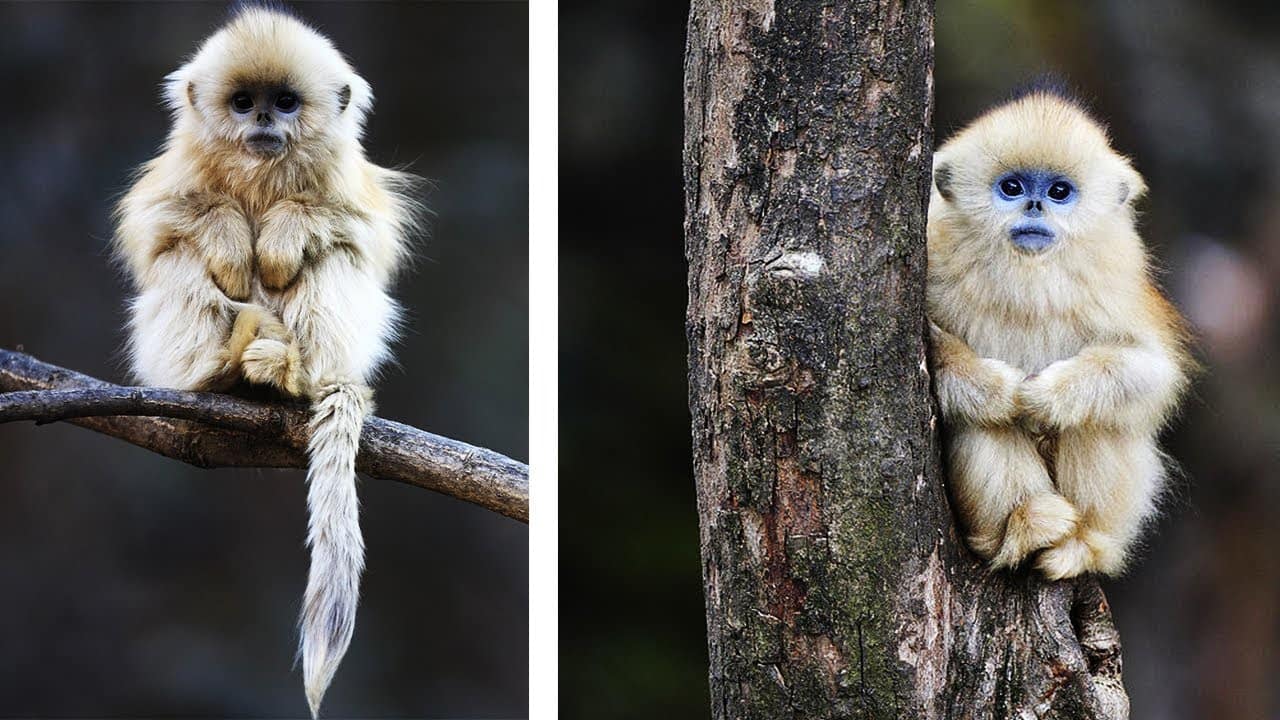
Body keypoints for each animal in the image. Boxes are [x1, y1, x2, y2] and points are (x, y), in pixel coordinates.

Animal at [113, 7, 420, 715]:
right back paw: (220, 370)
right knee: (180, 258)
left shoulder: (349, 185)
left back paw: (290, 373)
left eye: (285, 102)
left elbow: (358, 231)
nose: (262, 122)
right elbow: (157, 226)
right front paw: (230, 237)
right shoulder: (174, 177)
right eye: (242, 102)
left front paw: (281, 234)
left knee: (335, 257)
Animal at [926, 81, 1191, 581]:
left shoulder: (1118, 280)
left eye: (1059, 191)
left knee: (1099, 420)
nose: (1035, 205)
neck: (1029, 274)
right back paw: (1027, 527)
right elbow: (938, 355)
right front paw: (1005, 392)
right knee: (981, 423)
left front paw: (1044, 396)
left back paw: (1079, 546)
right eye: (1011, 187)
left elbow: (1150, 369)